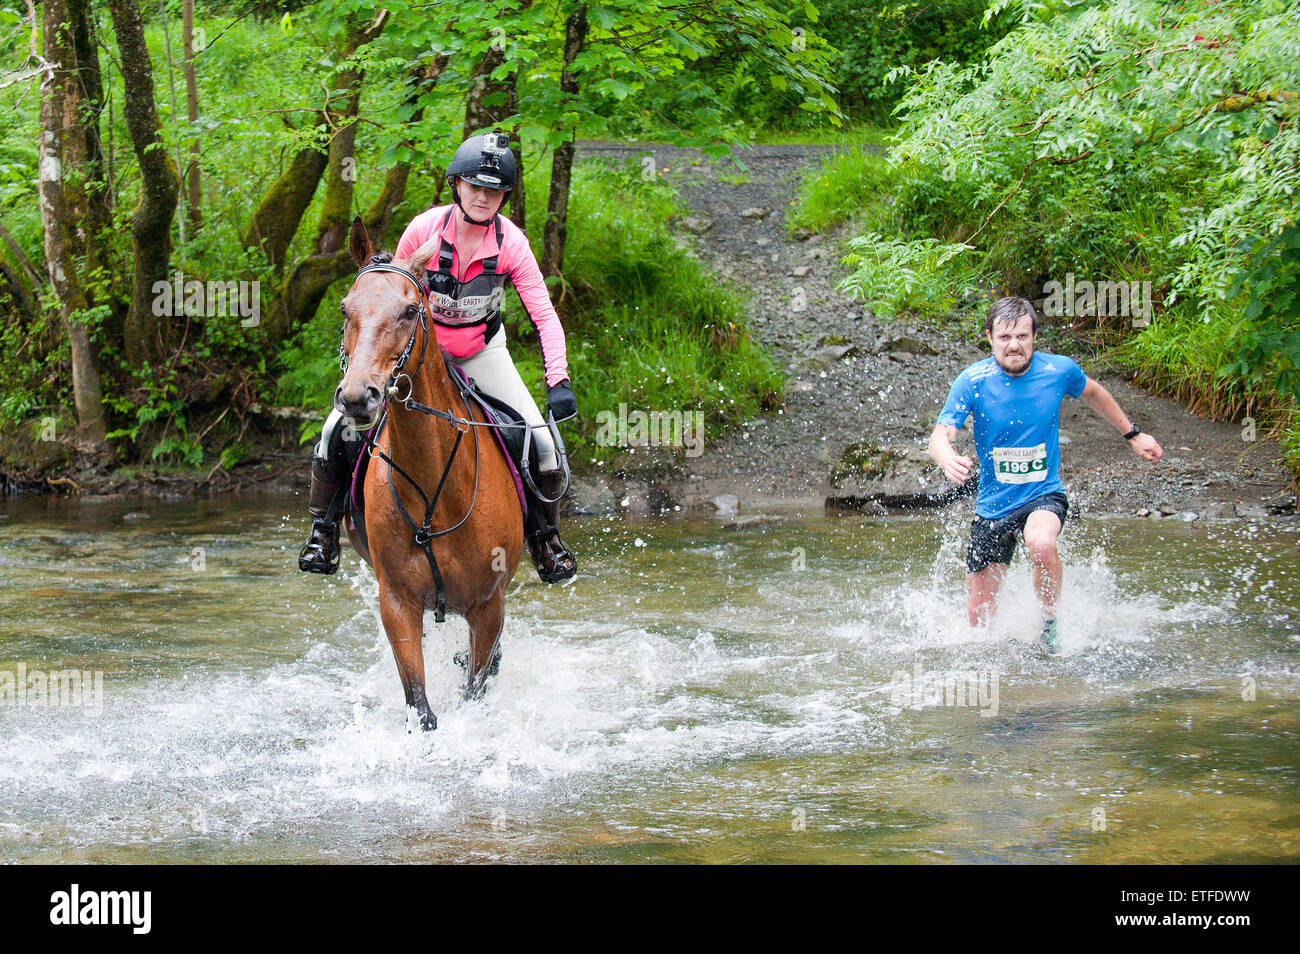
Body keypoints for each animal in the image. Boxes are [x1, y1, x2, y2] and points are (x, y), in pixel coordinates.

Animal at [335, 217, 523, 731]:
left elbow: (476, 691)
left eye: (408, 310)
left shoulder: (487, 607)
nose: (357, 398)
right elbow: (420, 706)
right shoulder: (398, 603)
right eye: (345, 309)